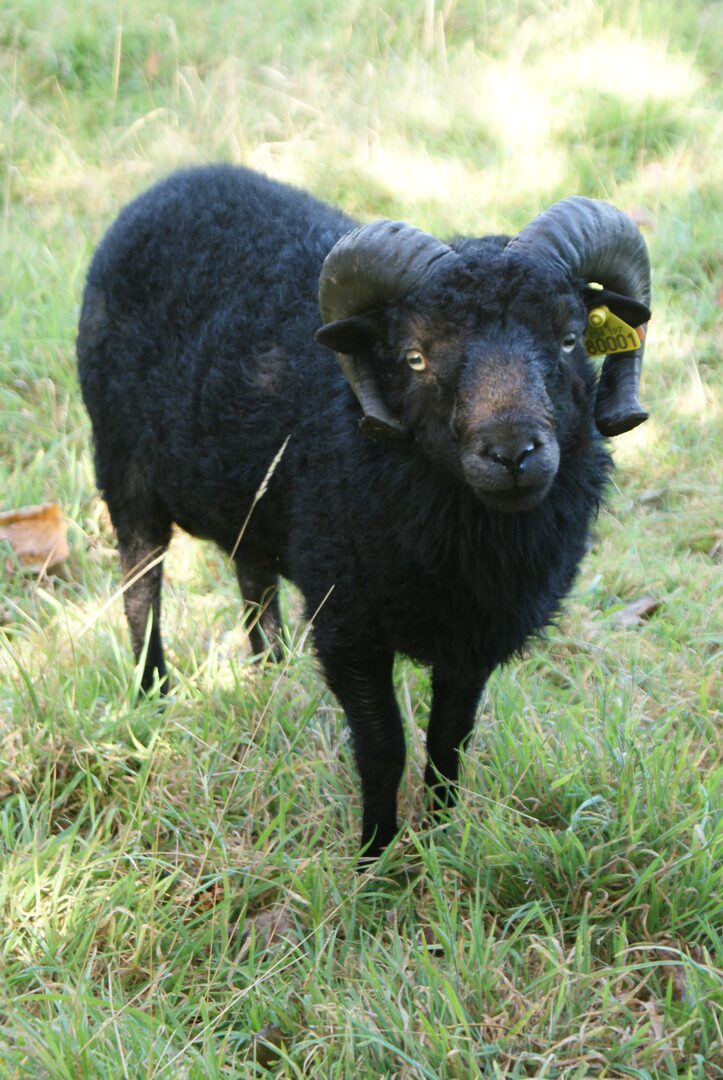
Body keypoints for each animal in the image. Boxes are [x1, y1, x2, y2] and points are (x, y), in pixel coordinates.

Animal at [76, 166, 652, 859]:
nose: (513, 453)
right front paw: (376, 856)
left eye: (569, 339)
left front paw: (439, 839)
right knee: (142, 591)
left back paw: (271, 678)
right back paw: (154, 698)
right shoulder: (347, 624)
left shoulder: (474, 639)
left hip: (252, 501)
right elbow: (384, 749)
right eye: (415, 357)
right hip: (123, 469)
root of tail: (178, 179)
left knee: (253, 579)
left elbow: (448, 743)